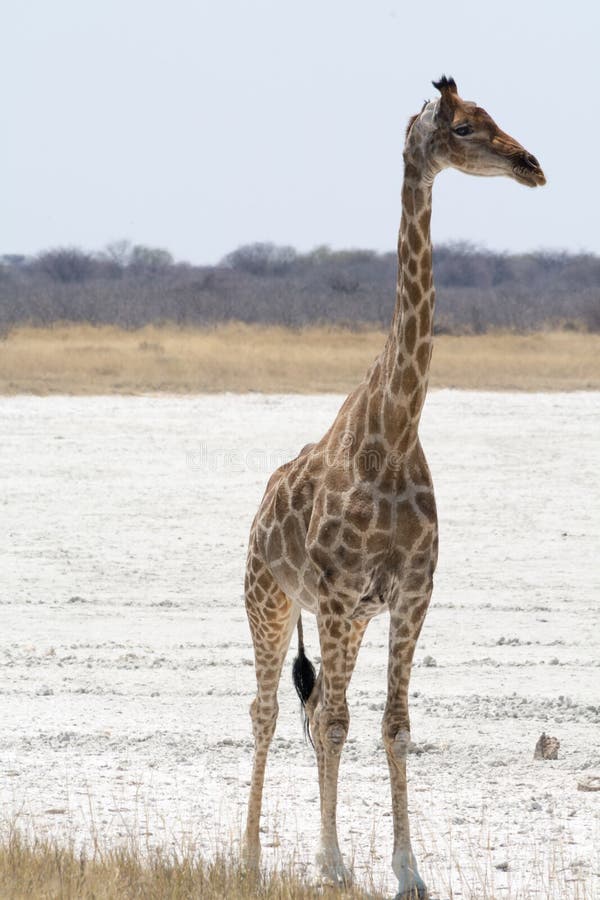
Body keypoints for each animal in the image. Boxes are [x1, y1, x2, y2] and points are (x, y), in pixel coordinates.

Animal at [243, 76, 545, 900]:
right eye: (466, 127)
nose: (532, 165)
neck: (397, 427)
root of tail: (259, 508)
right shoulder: (339, 596)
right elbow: (338, 723)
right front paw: (336, 863)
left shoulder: (409, 595)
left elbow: (395, 726)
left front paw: (407, 871)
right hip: (270, 600)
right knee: (270, 711)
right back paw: (250, 857)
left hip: (345, 618)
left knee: (315, 709)